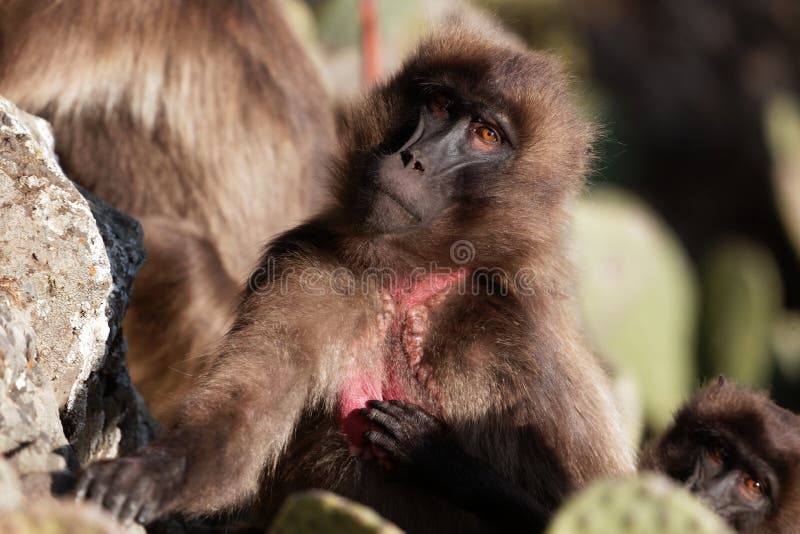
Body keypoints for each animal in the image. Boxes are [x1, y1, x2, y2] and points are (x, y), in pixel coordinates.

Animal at [75, 22, 635, 532]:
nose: (414, 159)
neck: (408, 281)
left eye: (487, 135)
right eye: (440, 105)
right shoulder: (304, 268)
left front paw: (438, 456)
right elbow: (234, 438)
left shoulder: (529, 348)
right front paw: (147, 476)